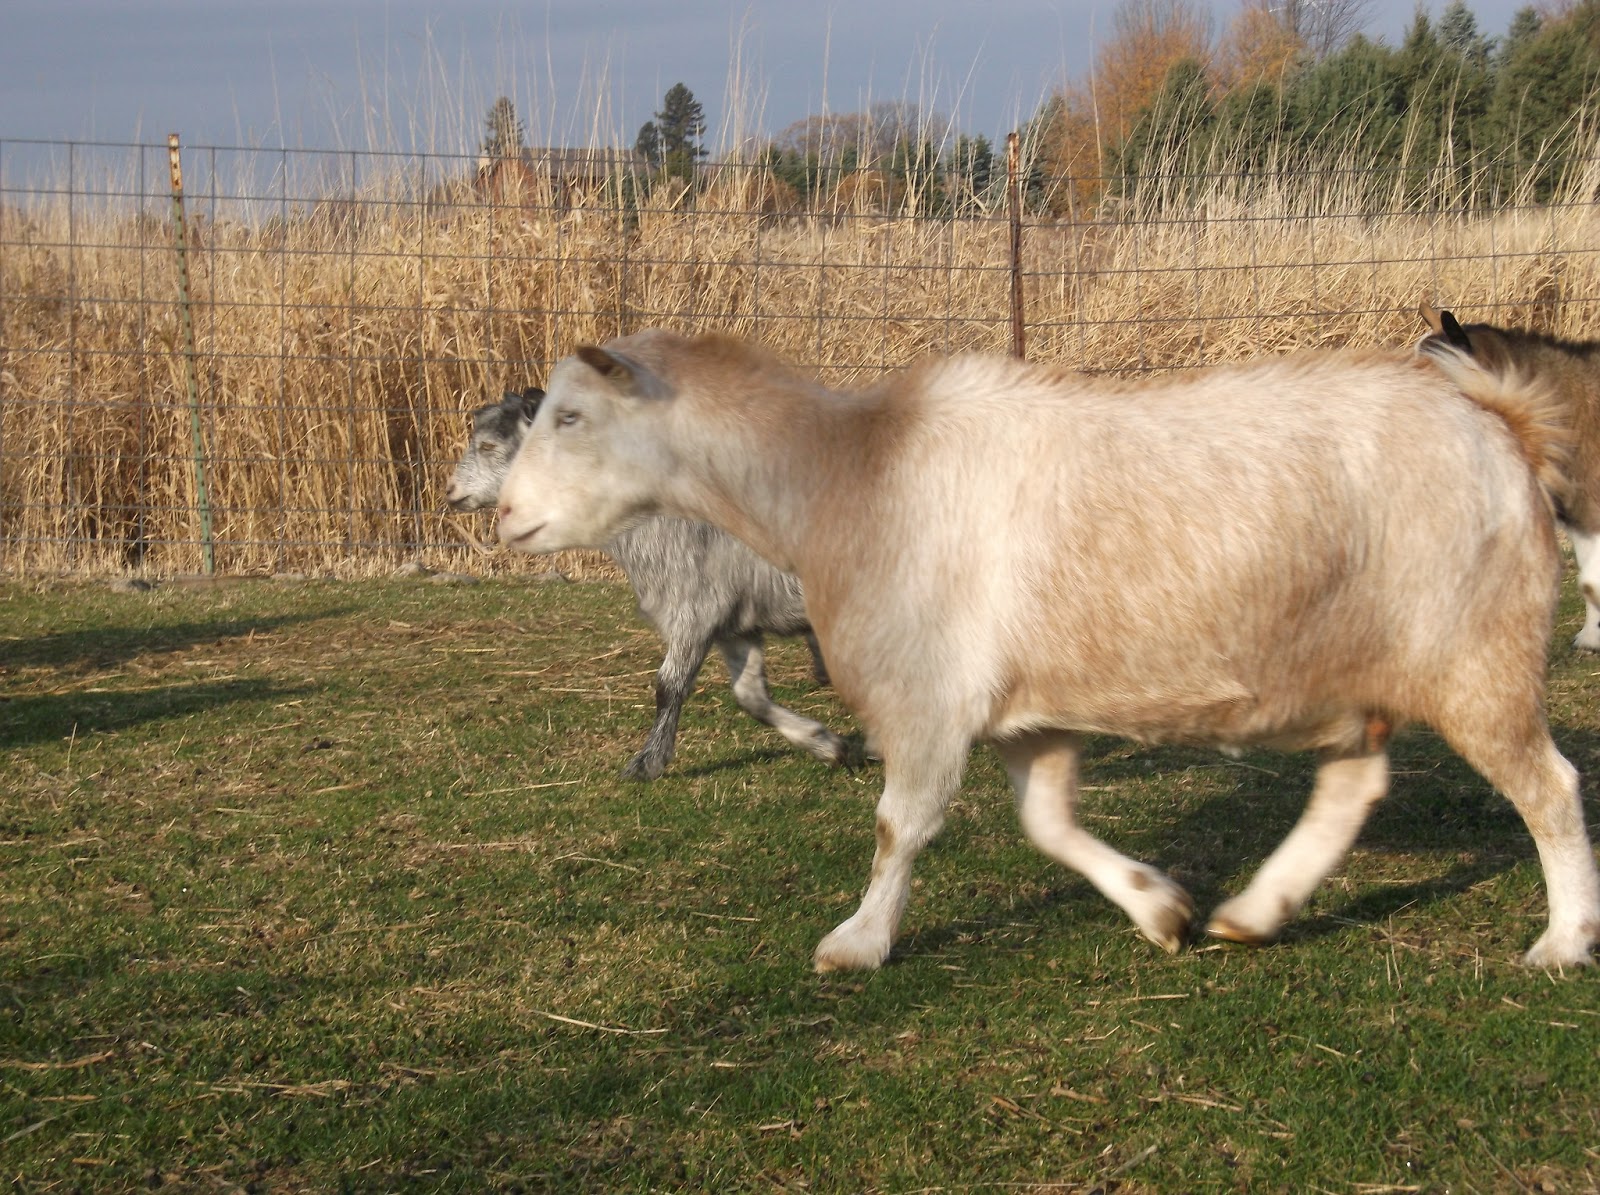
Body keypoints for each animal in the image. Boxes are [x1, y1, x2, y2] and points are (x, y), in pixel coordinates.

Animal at [447, 387, 848, 781]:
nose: (451, 492)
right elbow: (751, 696)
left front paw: (647, 763)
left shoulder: (694, 611)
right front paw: (828, 745)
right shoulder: (735, 625)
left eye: (488, 446)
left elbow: (668, 686)